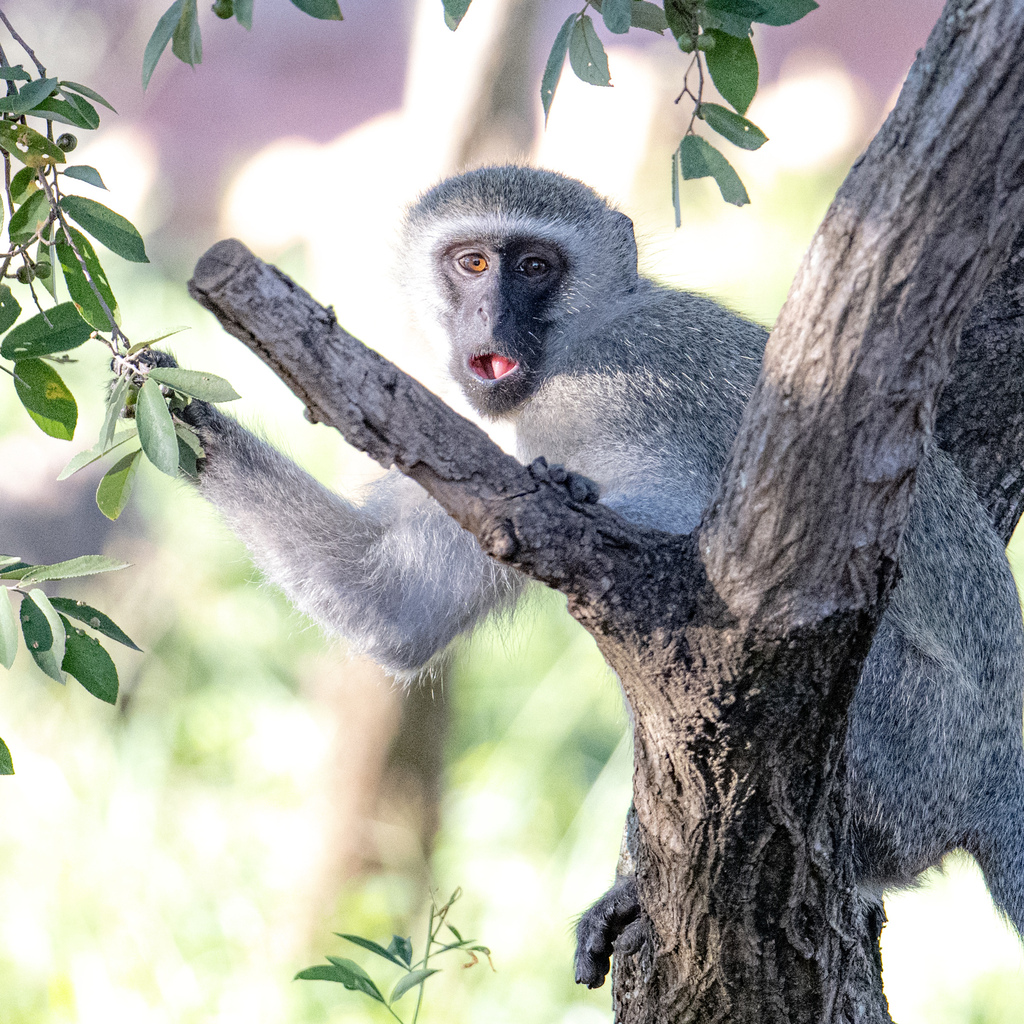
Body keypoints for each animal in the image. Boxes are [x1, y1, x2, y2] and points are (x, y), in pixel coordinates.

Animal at [170, 165, 1024, 989]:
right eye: (471, 262)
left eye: (535, 266)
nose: (488, 315)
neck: (588, 332)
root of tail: (994, 769)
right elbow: (394, 604)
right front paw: (170, 405)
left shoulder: (620, 387)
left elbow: (721, 561)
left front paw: (580, 494)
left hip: (906, 747)